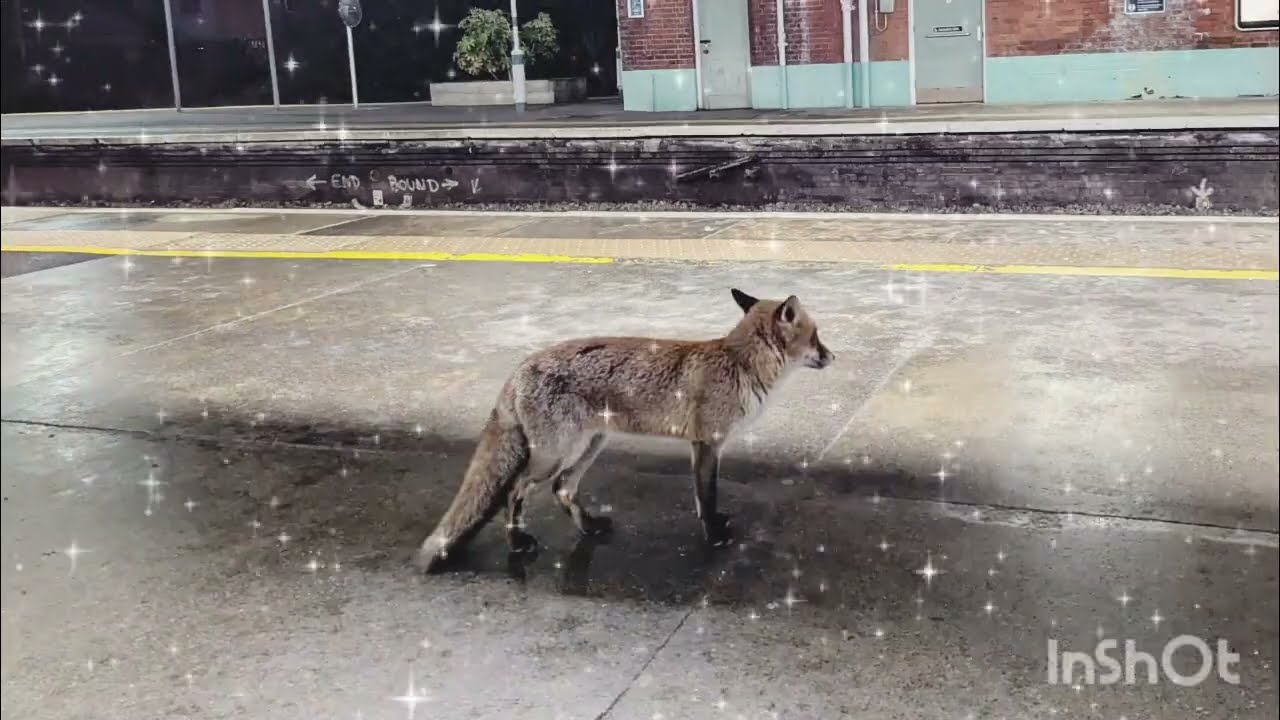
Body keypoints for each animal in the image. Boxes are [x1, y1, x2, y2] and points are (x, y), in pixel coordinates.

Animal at [416, 288, 834, 573]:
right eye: (816, 338)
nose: (834, 356)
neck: (740, 365)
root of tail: (520, 368)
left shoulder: (699, 446)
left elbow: (702, 498)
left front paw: (711, 527)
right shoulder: (708, 443)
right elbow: (707, 495)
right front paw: (714, 536)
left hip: (592, 445)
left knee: (562, 488)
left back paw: (589, 527)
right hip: (555, 454)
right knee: (514, 491)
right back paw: (518, 543)